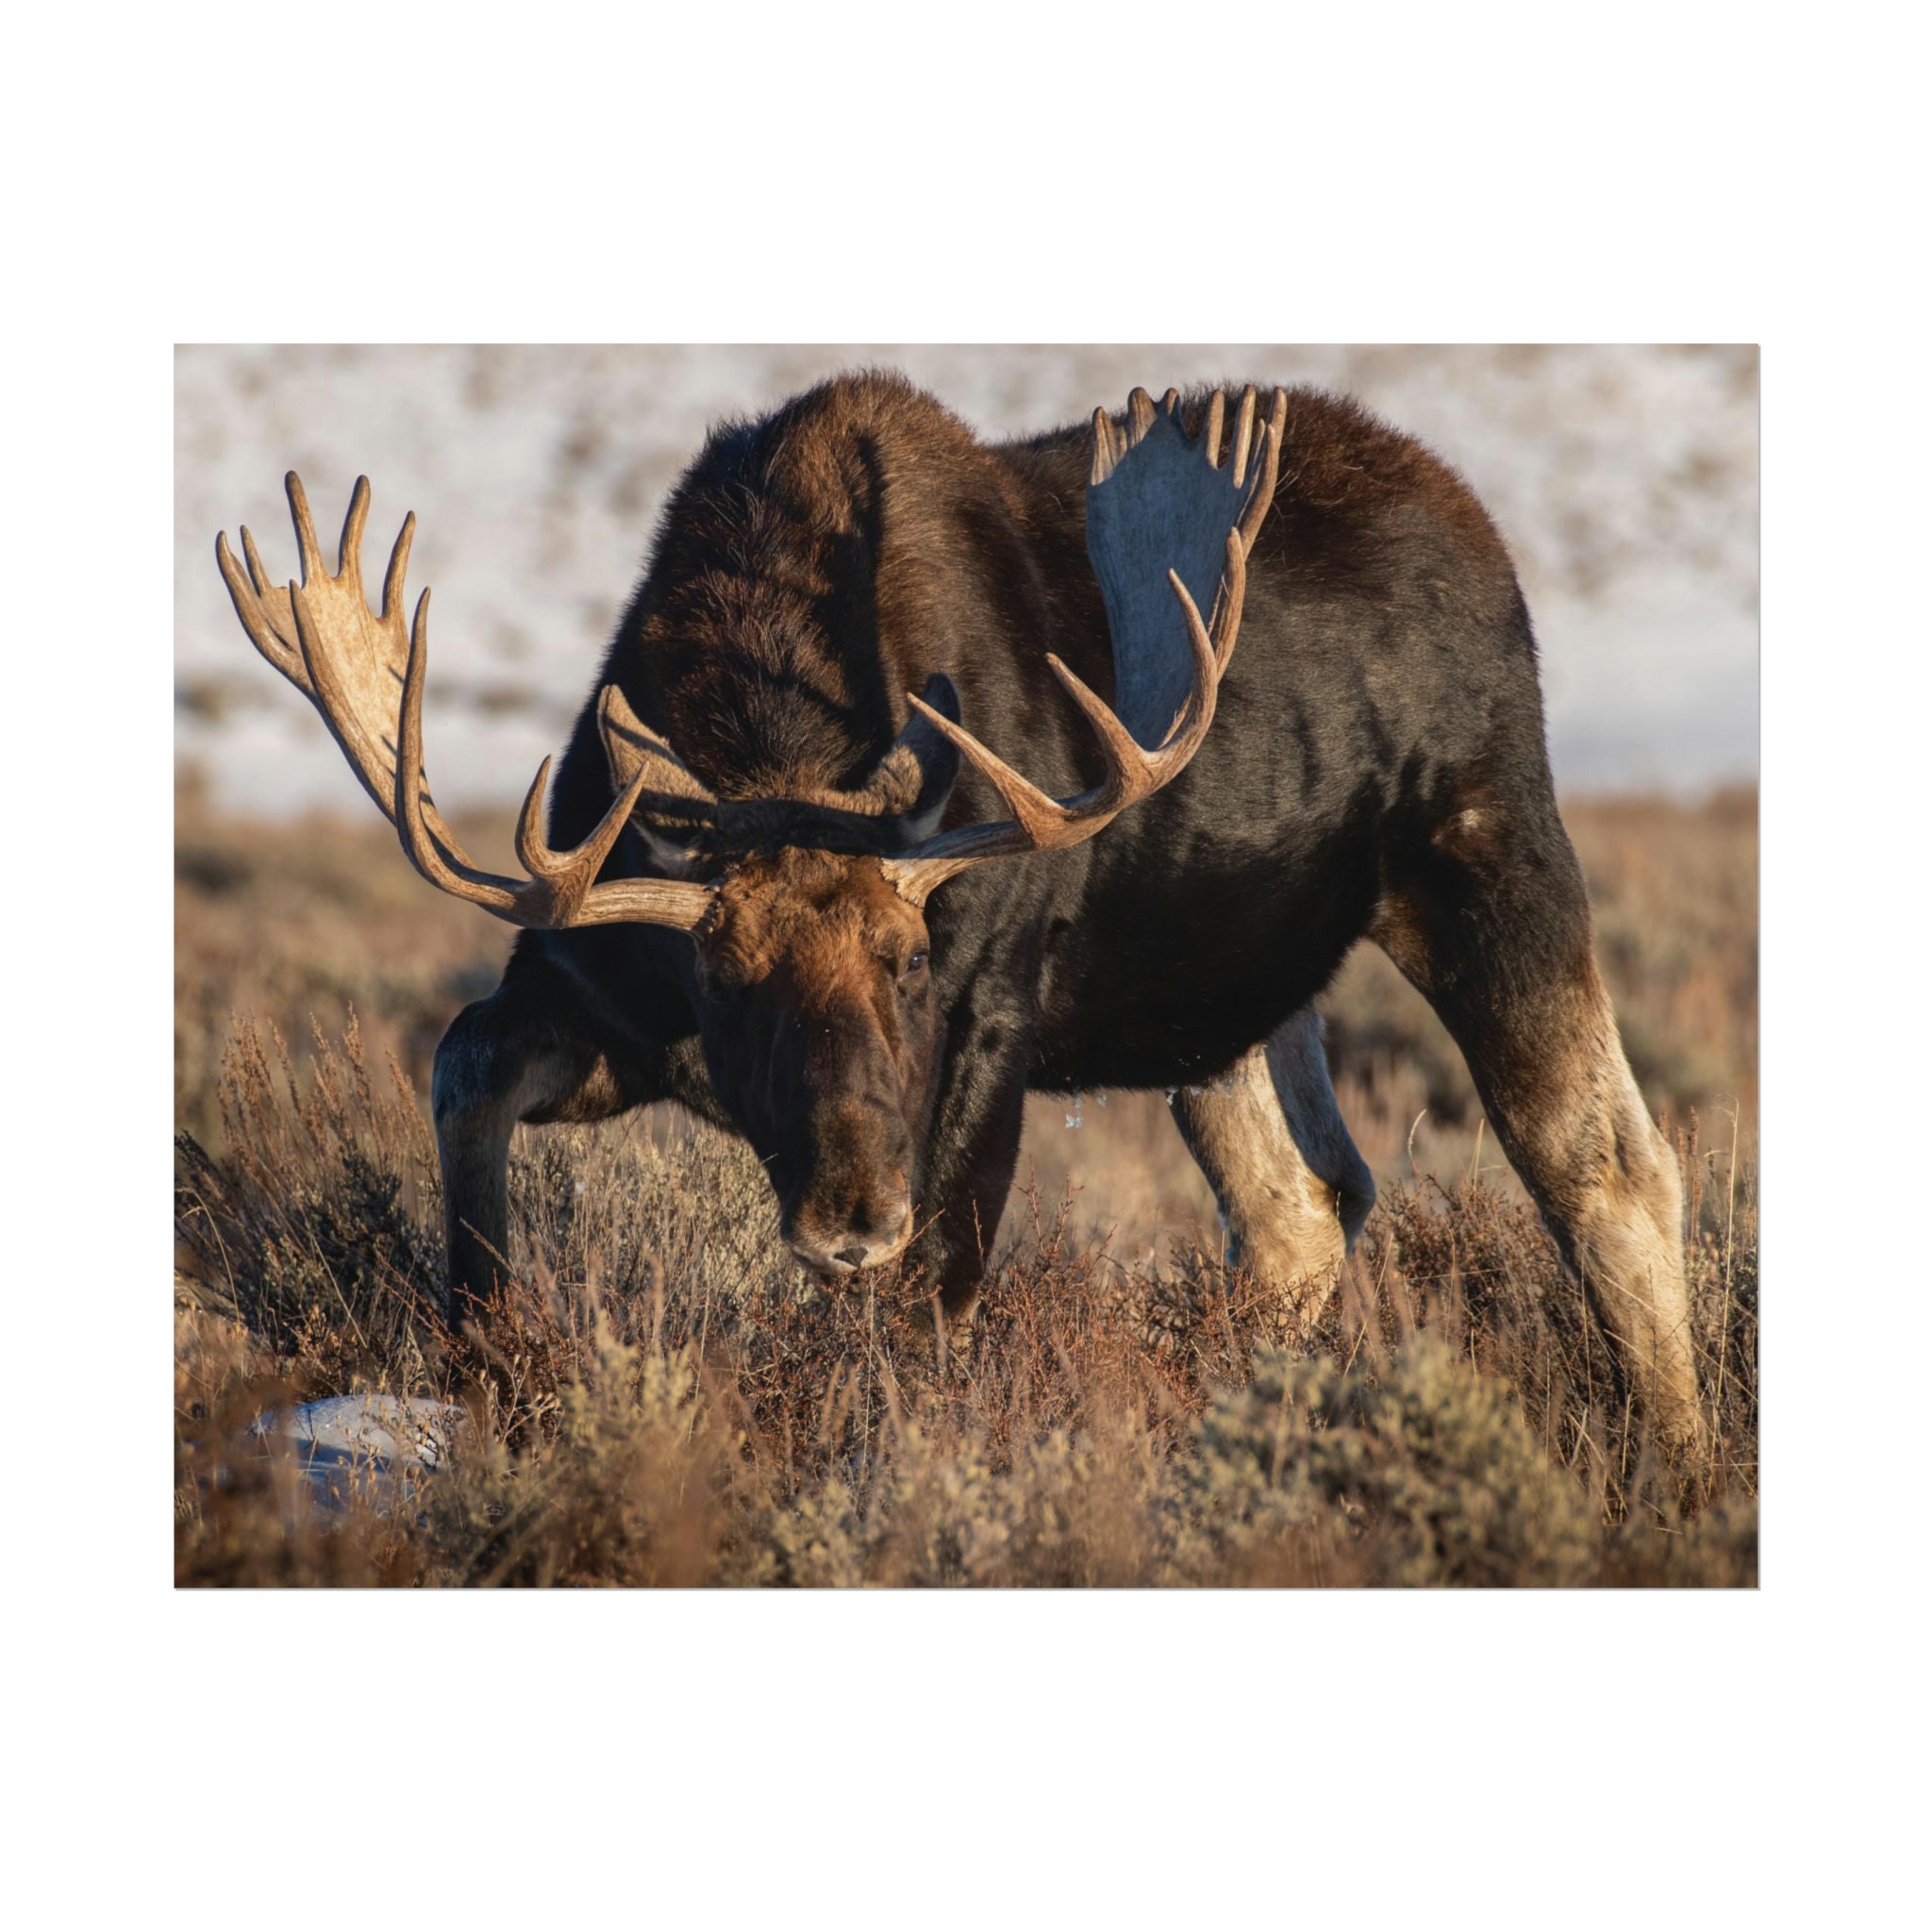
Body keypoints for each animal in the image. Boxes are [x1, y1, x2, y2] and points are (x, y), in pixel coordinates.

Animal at [217, 372, 1704, 1450]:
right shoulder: (603, 998)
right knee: (1305, 1198)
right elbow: (461, 1064)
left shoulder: (993, 1025)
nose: (844, 1214)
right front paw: (480, 1348)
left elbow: (933, 1294)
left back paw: (1672, 1459)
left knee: (1604, 1164)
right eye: (721, 975)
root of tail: (1479, 524)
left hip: (1487, 845)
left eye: (908, 958)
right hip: (1225, 999)